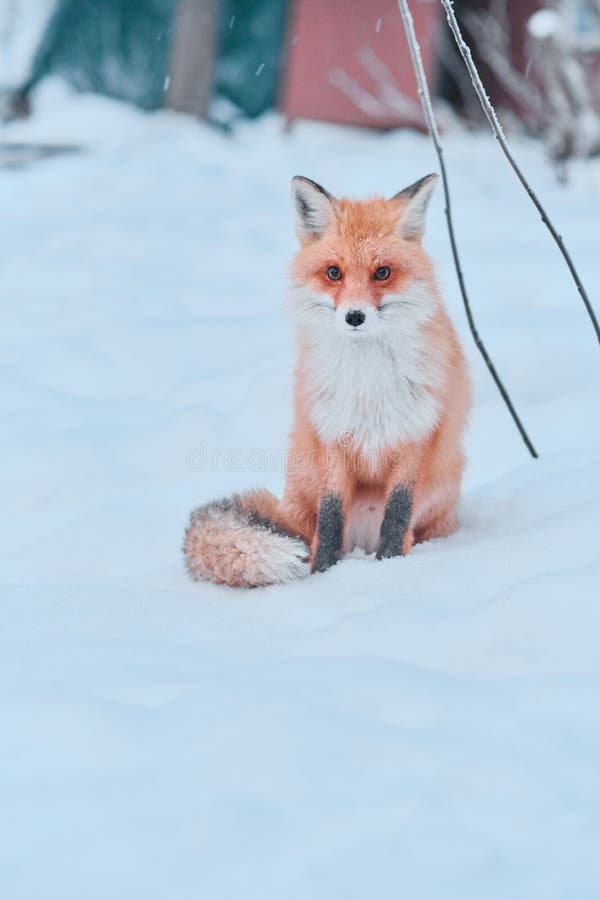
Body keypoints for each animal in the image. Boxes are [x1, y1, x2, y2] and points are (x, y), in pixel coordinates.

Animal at [184, 173, 471, 588]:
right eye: (334, 272)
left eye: (382, 272)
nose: (355, 316)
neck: (368, 381)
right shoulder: (334, 436)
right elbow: (331, 516)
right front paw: (324, 574)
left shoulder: (415, 436)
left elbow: (398, 515)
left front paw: (389, 568)